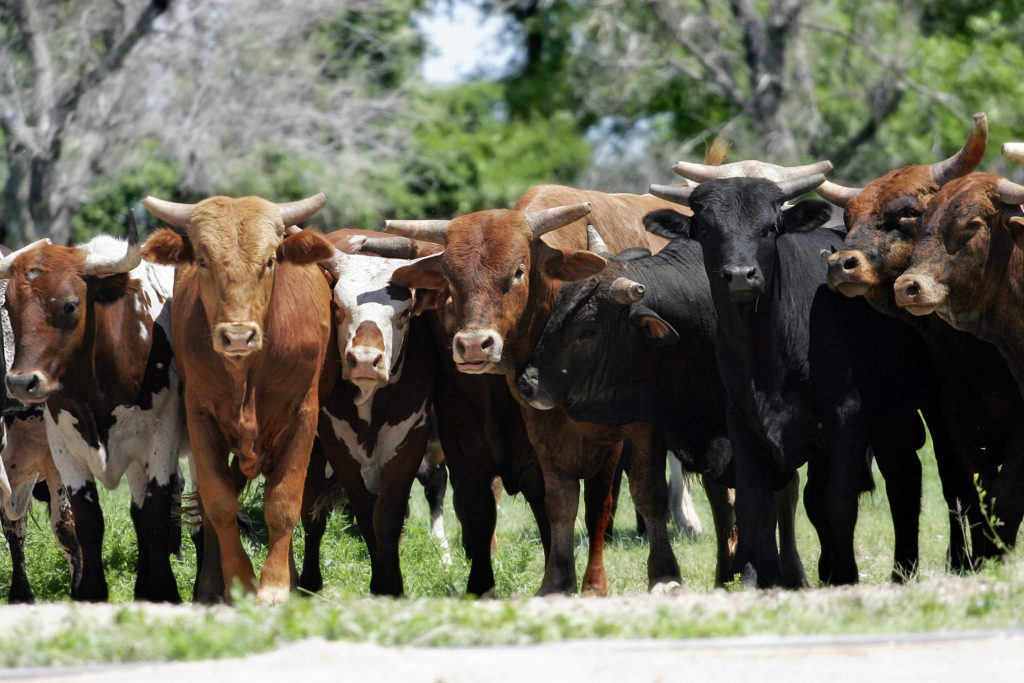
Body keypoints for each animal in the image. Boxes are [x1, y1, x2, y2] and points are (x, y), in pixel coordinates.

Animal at [0, 224, 183, 602]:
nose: (20, 383)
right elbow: (84, 520)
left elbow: (153, 515)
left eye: (70, 305)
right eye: (9, 305)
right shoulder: (62, 448)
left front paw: (163, 590)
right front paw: (86, 591)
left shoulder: (161, 440)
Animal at [141, 193, 335, 605]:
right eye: (203, 260)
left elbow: (283, 503)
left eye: (270, 260)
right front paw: (240, 582)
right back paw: (211, 585)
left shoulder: (302, 419)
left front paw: (276, 584)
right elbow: (219, 504)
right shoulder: (200, 419)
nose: (238, 336)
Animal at [649, 174, 928, 586]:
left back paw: (901, 570)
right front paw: (750, 577)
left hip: (894, 416)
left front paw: (845, 575)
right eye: (707, 230)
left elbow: (838, 500)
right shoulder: (742, 421)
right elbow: (752, 502)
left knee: (903, 479)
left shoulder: (847, 418)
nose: (740, 276)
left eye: (768, 228)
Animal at [817, 114, 1024, 565]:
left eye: (908, 212)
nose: (841, 264)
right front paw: (972, 559)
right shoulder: (953, 413)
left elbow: (1003, 491)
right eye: (848, 220)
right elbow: (968, 487)